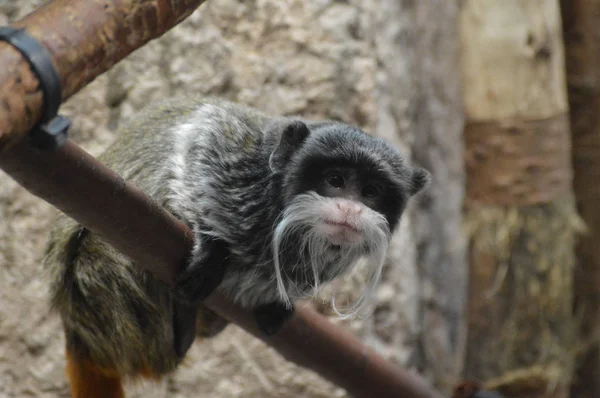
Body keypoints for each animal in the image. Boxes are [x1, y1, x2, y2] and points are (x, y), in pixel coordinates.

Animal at [42, 95, 428, 396]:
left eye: (371, 192)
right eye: (335, 180)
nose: (350, 209)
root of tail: (75, 331)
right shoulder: (238, 155)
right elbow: (199, 137)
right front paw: (212, 246)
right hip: (95, 276)